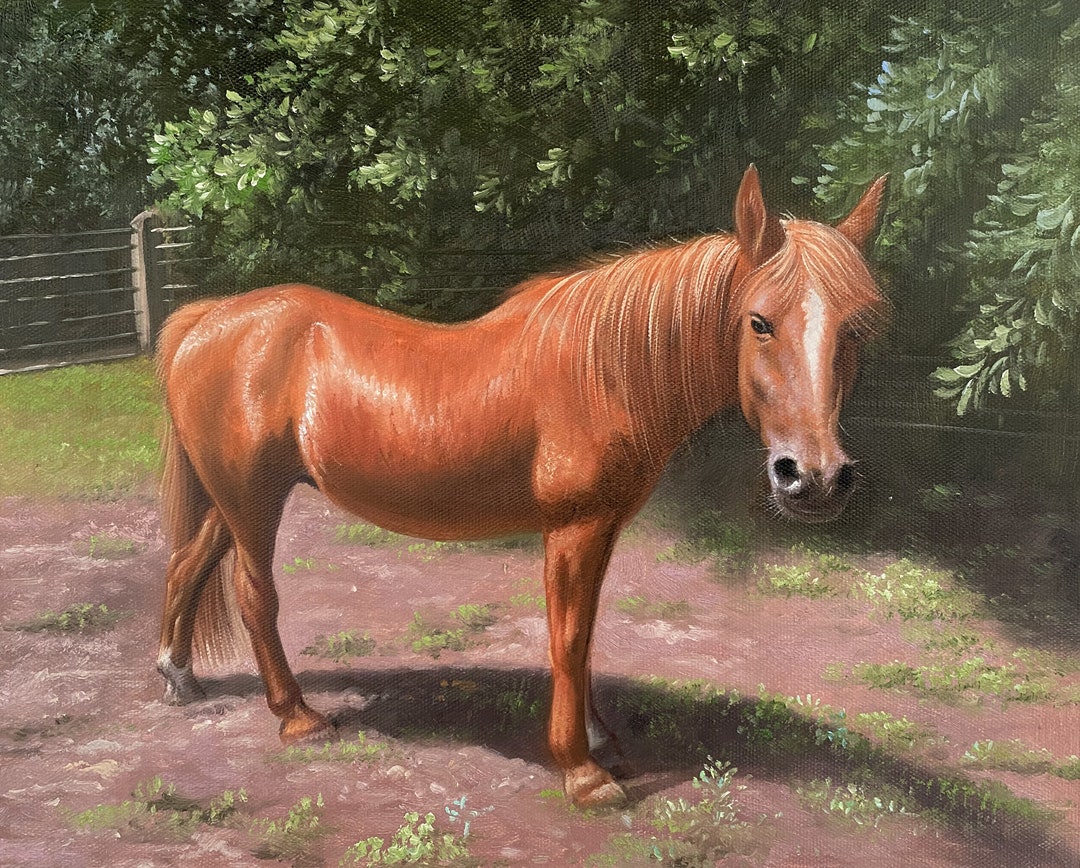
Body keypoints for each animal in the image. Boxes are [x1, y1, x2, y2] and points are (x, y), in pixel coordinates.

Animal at [154, 165, 888, 808]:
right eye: (759, 322)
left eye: (855, 328)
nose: (815, 477)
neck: (602, 370)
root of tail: (212, 317)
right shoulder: (571, 528)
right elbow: (567, 637)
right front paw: (583, 773)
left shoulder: (602, 526)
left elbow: (585, 634)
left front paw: (600, 740)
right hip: (252, 500)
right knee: (254, 595)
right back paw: (298, 716)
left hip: (232, 499)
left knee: (188, 563)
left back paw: (178, 676)